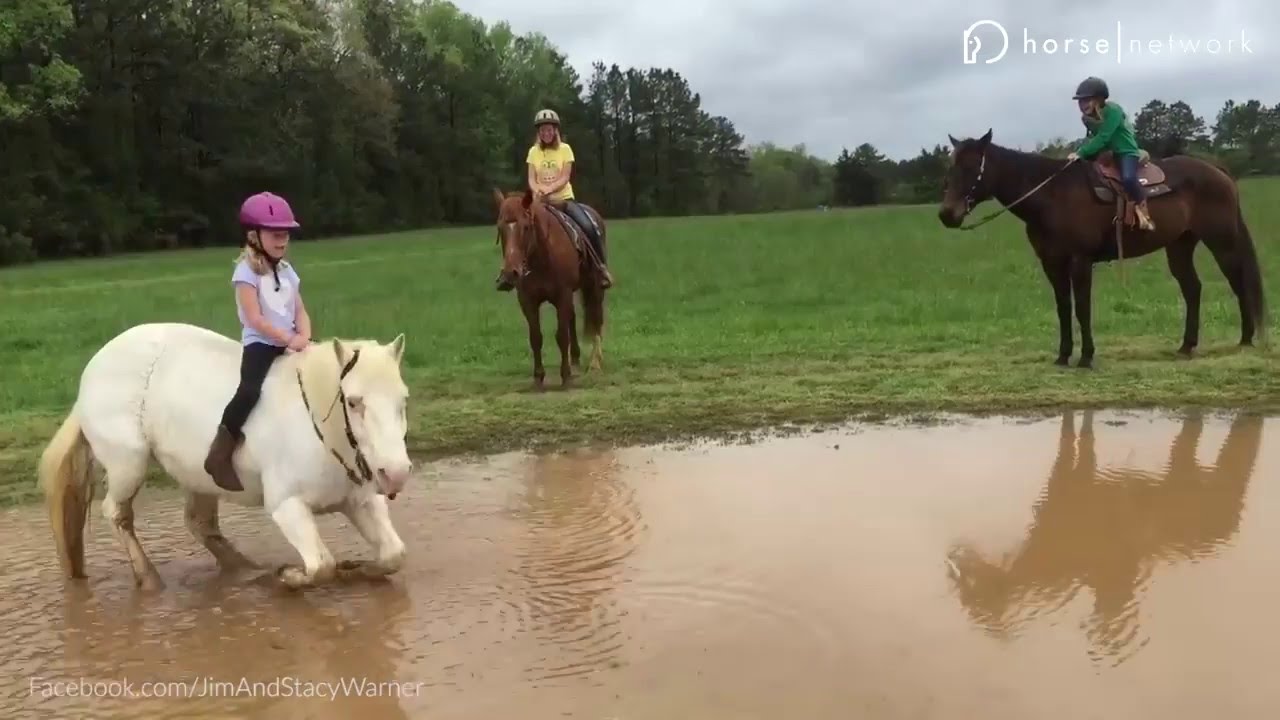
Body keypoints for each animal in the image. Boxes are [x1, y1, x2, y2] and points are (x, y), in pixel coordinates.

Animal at [37, 322, 414, 592]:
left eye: (403, 399)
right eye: (353, 401)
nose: (396, 474)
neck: (320, 427)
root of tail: (94, 369)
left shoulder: (361, 501)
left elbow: (394, 555)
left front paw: (357, 569)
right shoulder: (286, 505)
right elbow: (321, 566)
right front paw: (288, 576)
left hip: (196, 473)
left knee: (199, 523)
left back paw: (245, 570)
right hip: (128, 464)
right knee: (117, 513)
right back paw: (149, 579)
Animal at [492, 188, 607, 390]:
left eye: (526, 227)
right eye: (500, 227)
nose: (510, 273)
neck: (541, 256)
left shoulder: (562, 294)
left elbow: (561, 336)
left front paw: (565, 376)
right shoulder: (528, 301)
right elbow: (536, 337)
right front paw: (538, 377)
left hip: (594, 286)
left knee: (596, 317)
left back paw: (594, 363)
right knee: (572, 318)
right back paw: (575, 360)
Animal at [938, 129, 1267, 368]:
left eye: (972, 167)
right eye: (950, 168)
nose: (946, 215)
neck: (1051, 195)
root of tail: (1216, 169)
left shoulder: (1080, 261)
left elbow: (1082, 307)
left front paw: (1086, 357)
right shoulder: (1052, 263)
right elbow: (1063, 307)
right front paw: (1063, 356)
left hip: (1221, 241)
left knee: (1238, 281)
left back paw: (1246, 339)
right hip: (1180, 245)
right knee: (1193, 289)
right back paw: (1187, 345)